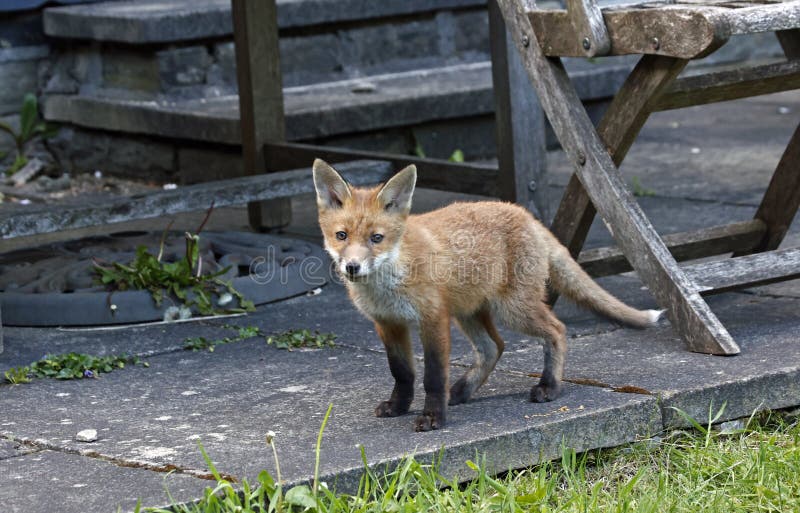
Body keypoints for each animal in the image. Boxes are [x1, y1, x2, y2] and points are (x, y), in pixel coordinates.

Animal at [312, 159, 662, 432]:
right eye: (341, 235)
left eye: (376, 238)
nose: (352, 267)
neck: (389, 280)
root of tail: (526, 215)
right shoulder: (388, 323)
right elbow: (402, 373)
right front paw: (399, 406)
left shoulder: (433, 318)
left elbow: (433, 377)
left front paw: (433, 417)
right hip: (469, 311)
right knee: (494, 347)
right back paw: (462, 392)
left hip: (512, 309)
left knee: (556, 330)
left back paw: (549, 386)